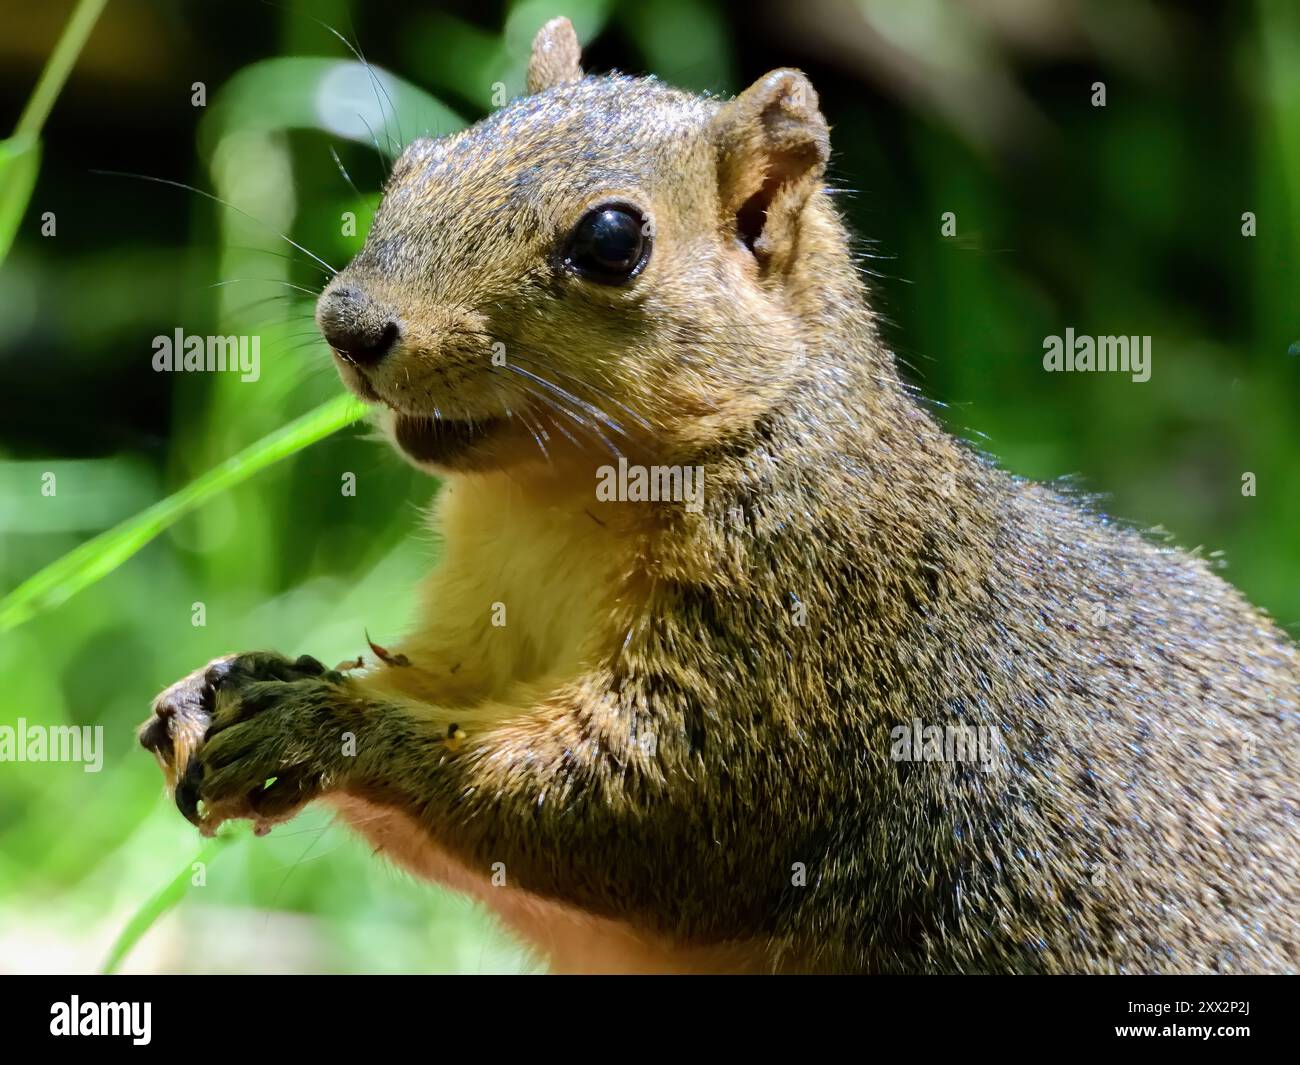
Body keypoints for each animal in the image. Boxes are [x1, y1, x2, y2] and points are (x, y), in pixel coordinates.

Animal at [139, 18, 1299, 974]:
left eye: (612, 240)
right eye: (416, 166)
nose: (350, 324)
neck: (552, 502)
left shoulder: (807, 624)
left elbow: (634, 809)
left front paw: (327, 724)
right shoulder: (483, 630)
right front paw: (233, 680)